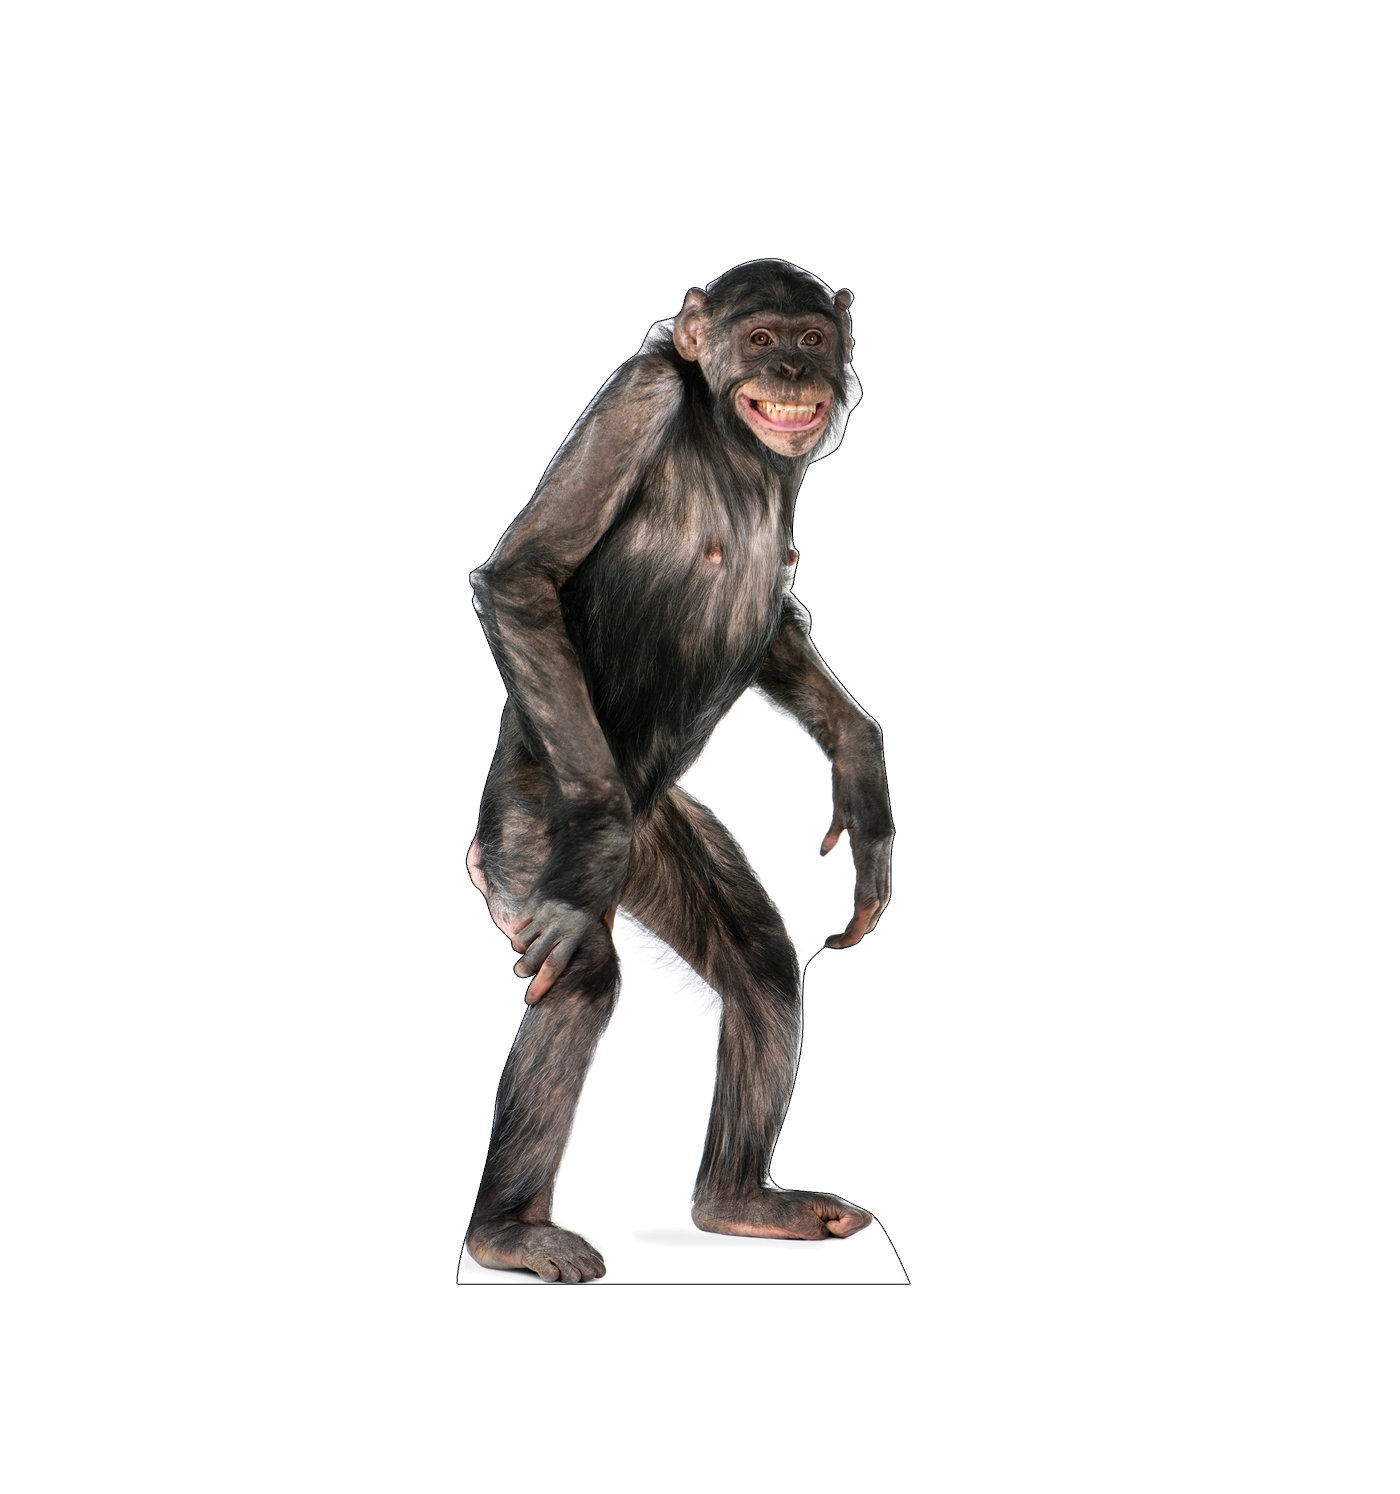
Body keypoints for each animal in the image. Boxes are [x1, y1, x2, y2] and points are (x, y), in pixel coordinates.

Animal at [462, 260, 893, 1283]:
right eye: (762, 336)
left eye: (812, 340)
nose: (789, 371)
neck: (725, 439)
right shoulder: (637, 398)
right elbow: (525, 575)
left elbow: (779, 619)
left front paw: (862, 762)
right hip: (528, 828)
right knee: (581, 972)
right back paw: (506, 1232)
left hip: (662, 838)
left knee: (764, 969)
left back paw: (740, 1202)